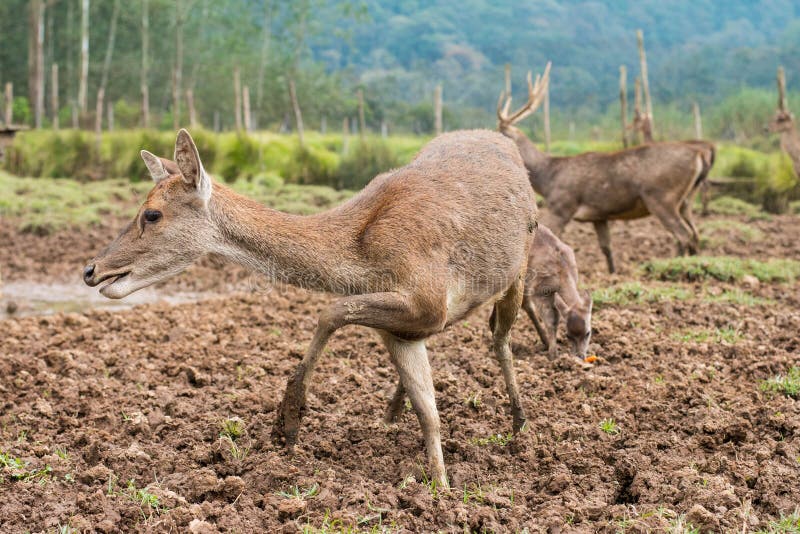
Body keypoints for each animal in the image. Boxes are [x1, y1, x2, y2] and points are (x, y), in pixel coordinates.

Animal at [82, 127, 539, 489]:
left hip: (520, 268)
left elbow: (330, 312)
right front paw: (440, 489)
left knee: (500, 337)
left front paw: (289, 419)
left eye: (152, 214)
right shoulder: (402, 328)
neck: (362, 252)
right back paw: (392, 415)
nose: (92, 270)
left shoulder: (426, 299)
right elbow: (429, 411)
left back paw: (520, 425)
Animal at [497, 63, 715, 273]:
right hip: (686, 200)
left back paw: (678, 267)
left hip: (661, 197)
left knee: (684, 234)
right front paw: (613, 273)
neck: (548, 177)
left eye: (497, 131)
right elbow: (606, 248)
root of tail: (699, 154)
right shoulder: (599, 216)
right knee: (694, 233)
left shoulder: (562, 206)